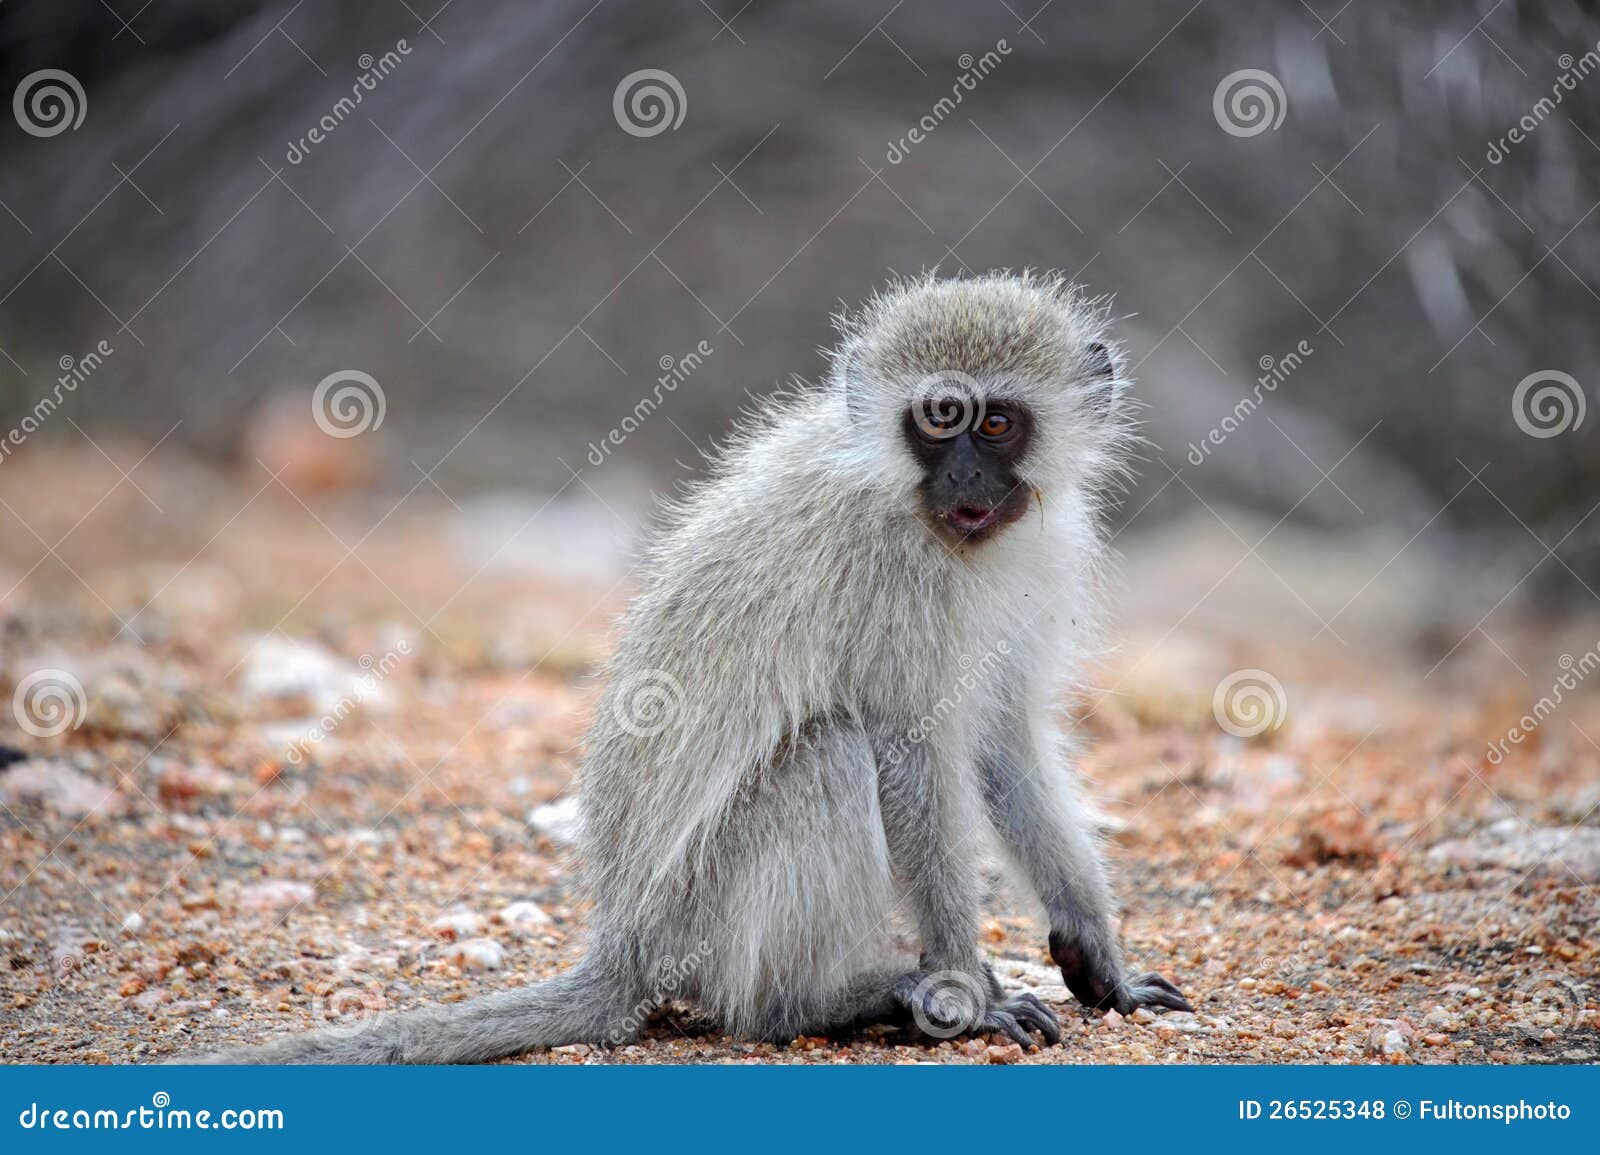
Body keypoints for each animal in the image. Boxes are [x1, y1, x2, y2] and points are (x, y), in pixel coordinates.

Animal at [196, 272, 1191, 1064]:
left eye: (995, 422)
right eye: (936, 423)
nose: (966, 485)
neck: (940, 529)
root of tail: (626, 943)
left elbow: (1004, 741)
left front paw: (1098, 953)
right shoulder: (891, 579)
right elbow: (910, 749)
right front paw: (964, 988)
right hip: (704, 920)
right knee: (832, 755)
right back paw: (833, 1000)